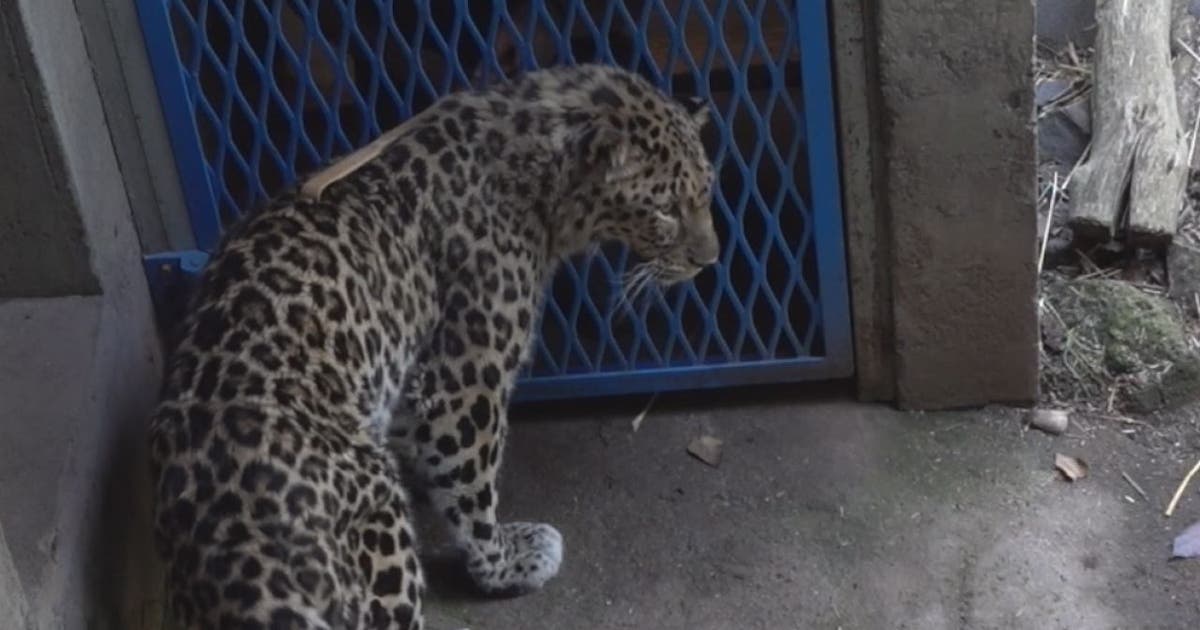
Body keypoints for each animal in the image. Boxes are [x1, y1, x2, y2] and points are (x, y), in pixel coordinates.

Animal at [148, 63, 719, 629]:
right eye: (665, 209)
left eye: (707, 190)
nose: (709, 260)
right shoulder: (465, 376)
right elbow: (472, 486)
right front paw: (505, 563)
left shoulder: (409, 373)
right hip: (377, 525)